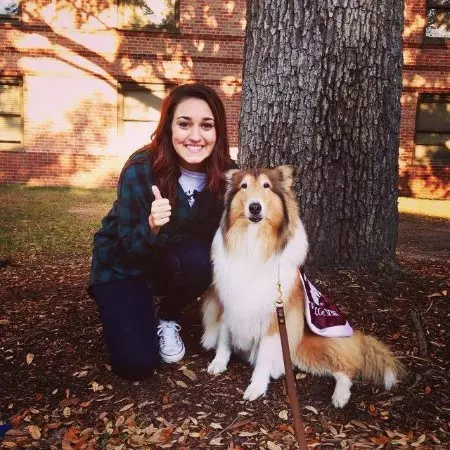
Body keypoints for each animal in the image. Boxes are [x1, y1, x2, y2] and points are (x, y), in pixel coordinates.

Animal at [201, 166, 404, 408]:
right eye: (244, 186)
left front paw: (257, 386)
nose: (254, 207)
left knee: (346, 368)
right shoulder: (228, 301)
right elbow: (224, 337)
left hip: (306, 347)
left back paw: (340, 396)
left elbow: (264, 357)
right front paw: (219, 363)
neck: (254, 240)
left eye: (266, 186)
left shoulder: (274, 319)